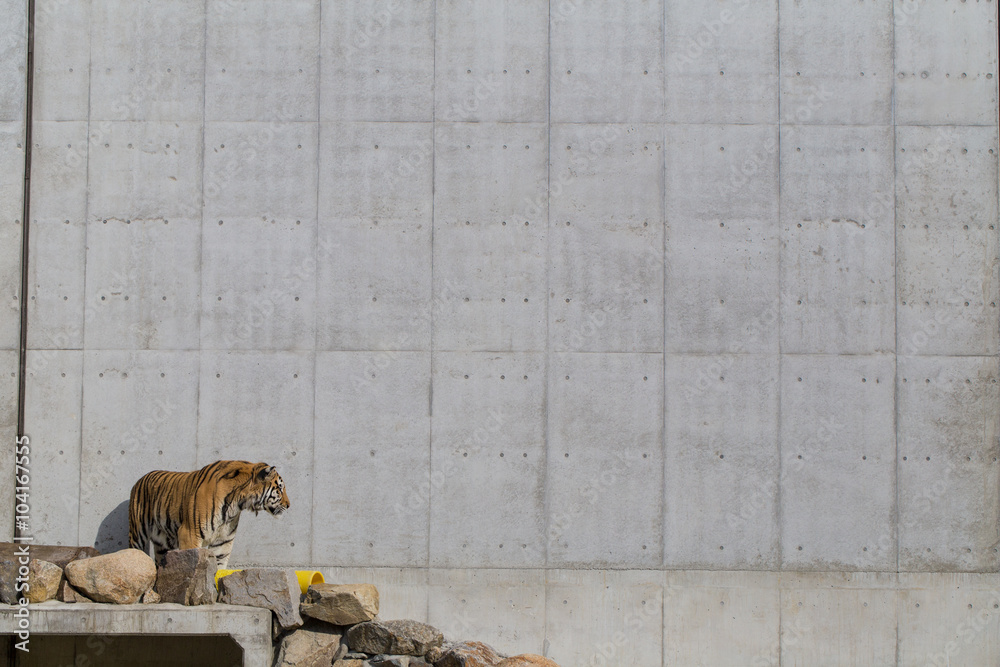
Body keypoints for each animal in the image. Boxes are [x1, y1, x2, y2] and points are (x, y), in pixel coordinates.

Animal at [128, 460, 290, 569]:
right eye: (280, 489)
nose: (288, 505)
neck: (236, 503)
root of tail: (140, 479)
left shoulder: (223, 540)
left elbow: (219, 567)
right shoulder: (189, 534)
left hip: (164, 542)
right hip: (138, 533)